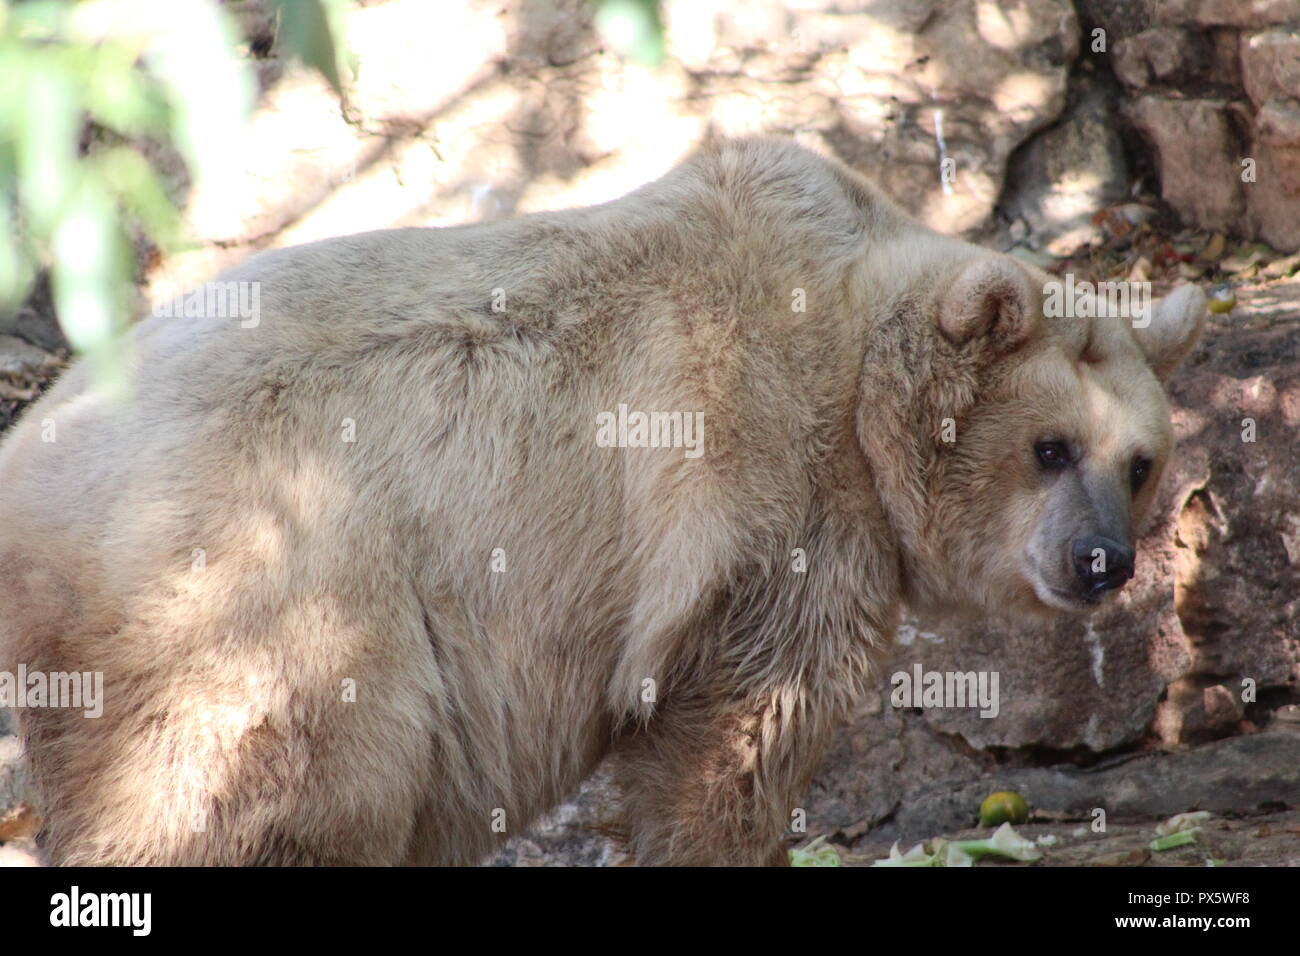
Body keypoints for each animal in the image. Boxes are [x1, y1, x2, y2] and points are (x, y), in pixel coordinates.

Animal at [0, 137, 1206, 866]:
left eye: (1139, 460)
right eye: (1051, 447)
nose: (1103, 560)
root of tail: (30, 462)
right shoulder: (765, 497)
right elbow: (739, 732)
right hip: (264, 586)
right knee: (279, 788)